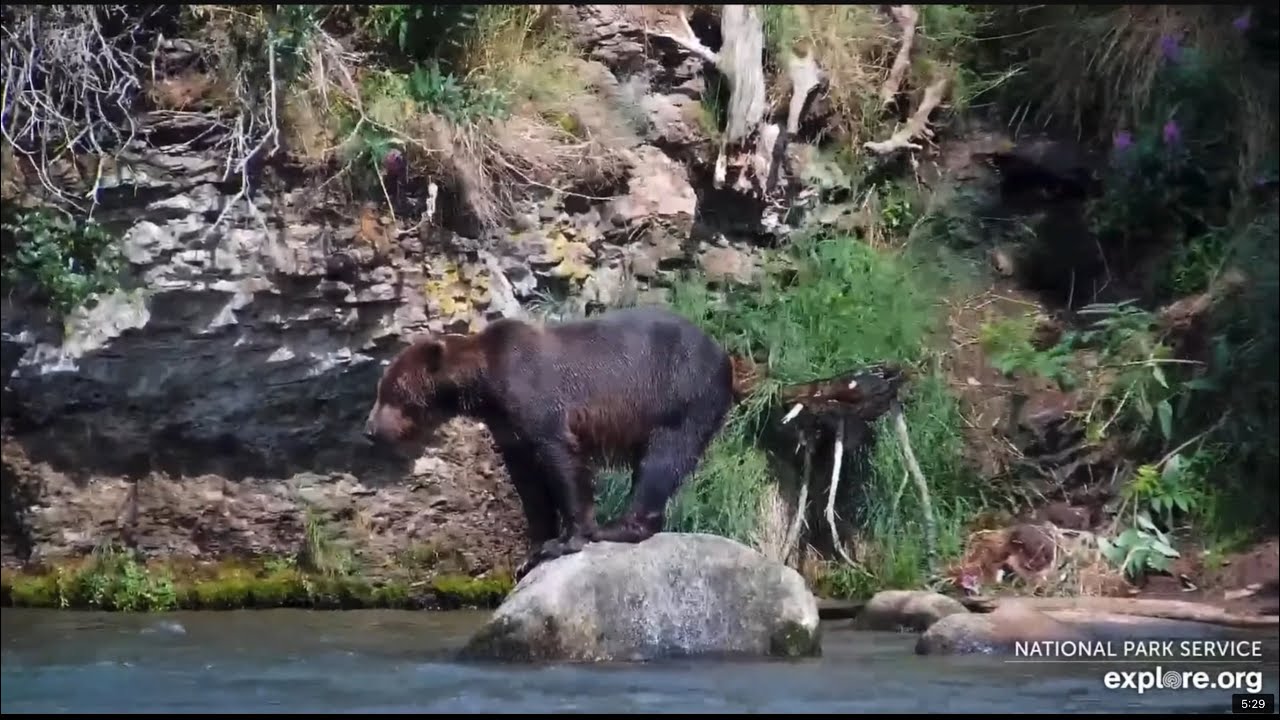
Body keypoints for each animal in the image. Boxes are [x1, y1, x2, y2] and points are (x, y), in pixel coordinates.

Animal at [362, 306, 750, 580]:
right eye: (381, 391)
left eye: (391, 392)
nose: (370, 430)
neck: (486, 386)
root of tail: (726, 355)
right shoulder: (508, 429)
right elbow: (529, 485)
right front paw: (533, 550)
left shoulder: (539, 400)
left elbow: (562, 461)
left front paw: (567, 540)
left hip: (680, 394)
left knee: (662, 459)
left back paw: (619, 527)